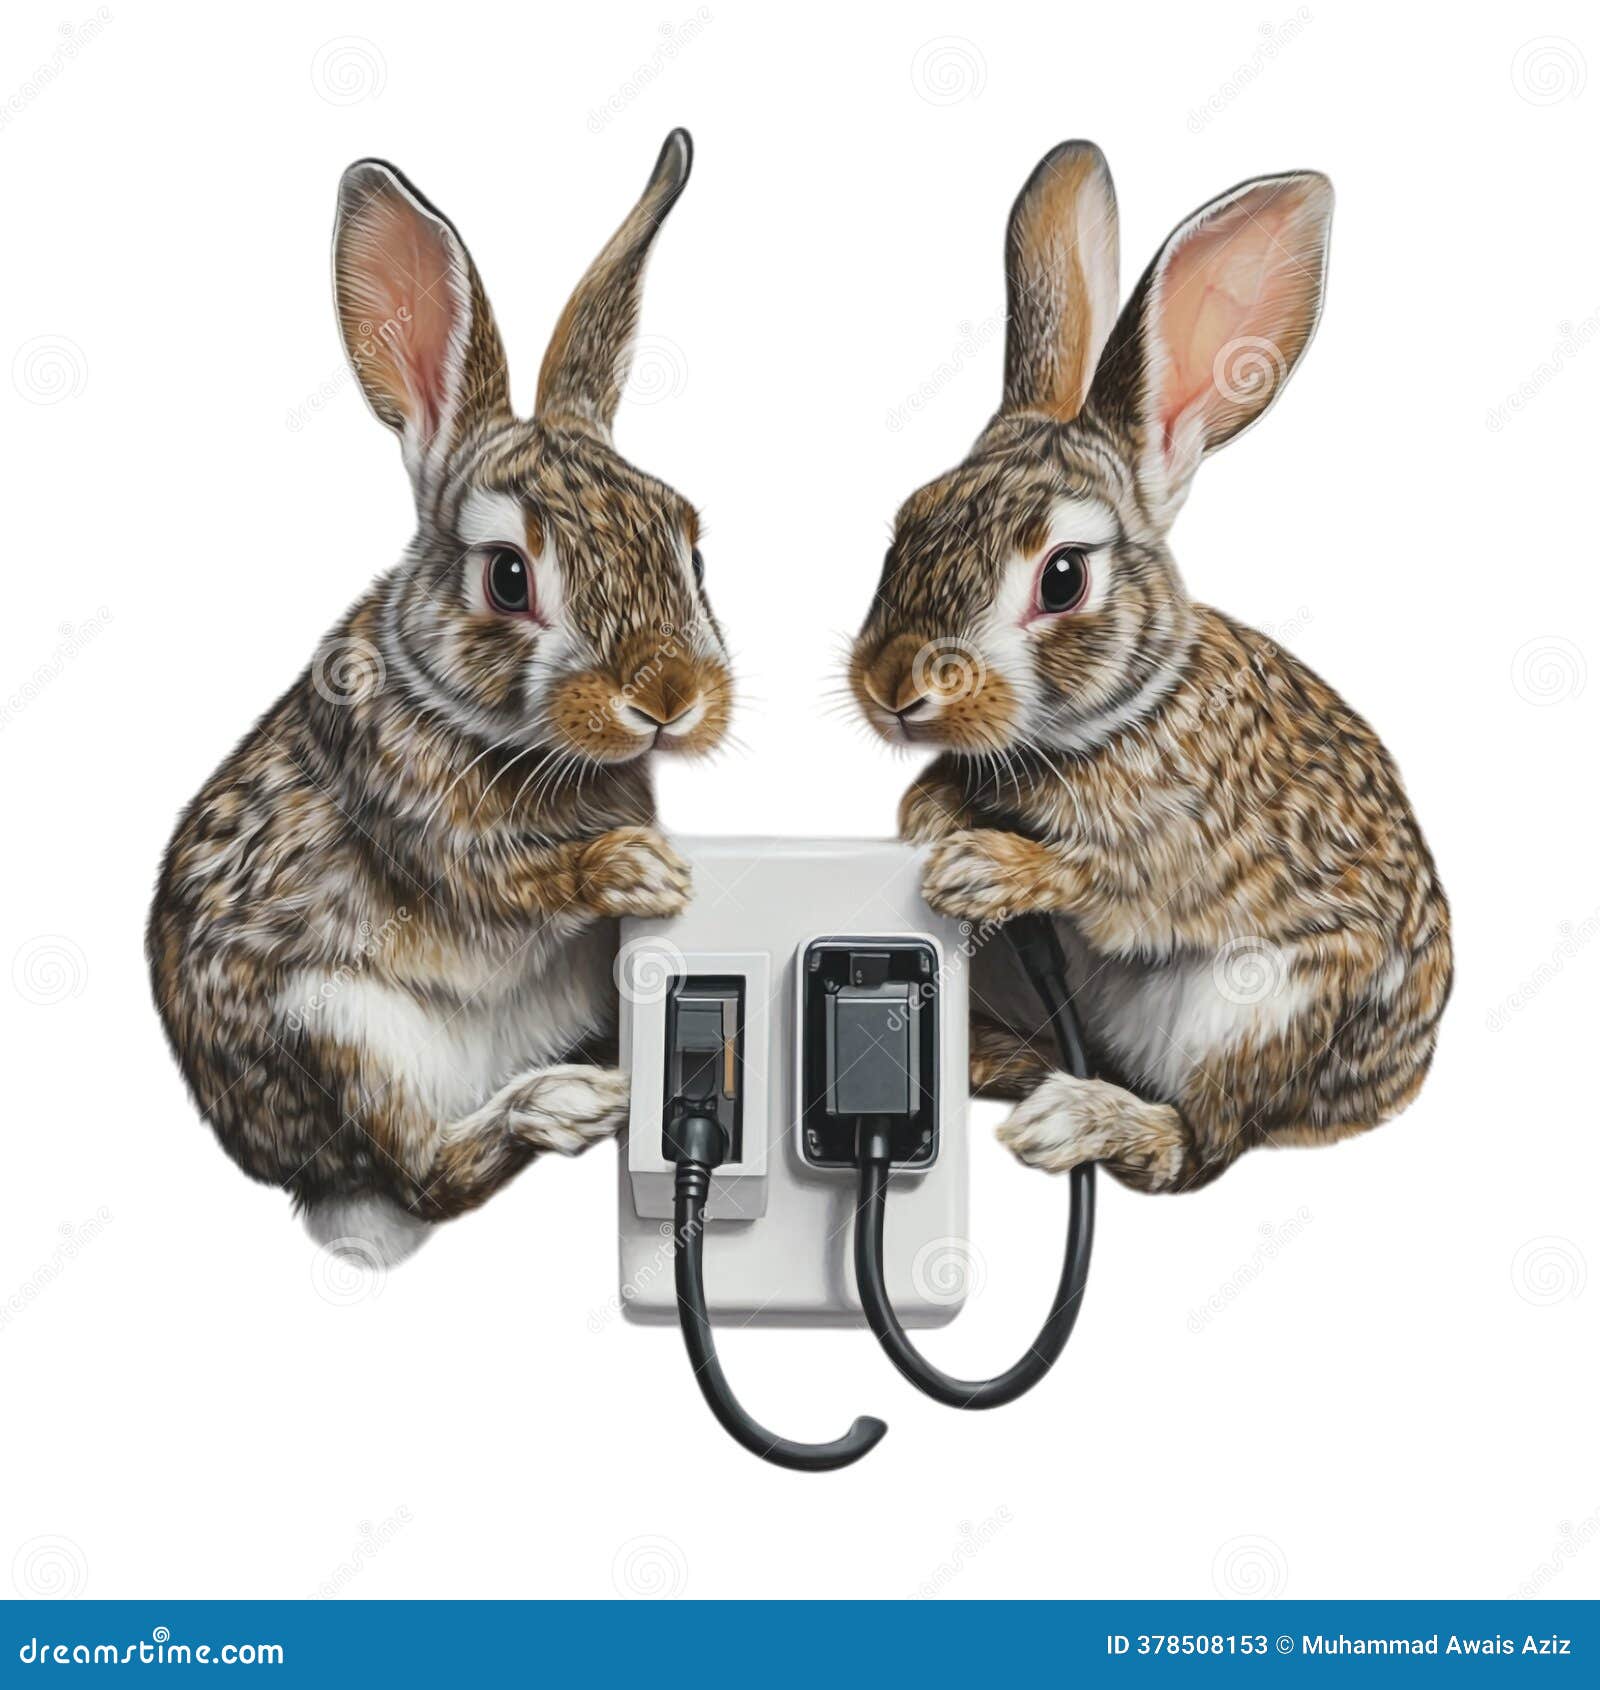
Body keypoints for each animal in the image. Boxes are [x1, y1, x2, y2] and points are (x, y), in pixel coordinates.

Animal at [148, 131, 732, 1263]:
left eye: (689, 547)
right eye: (508, 578)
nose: (668, 696)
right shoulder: (419, 824)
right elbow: (508, 880)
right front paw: (636, 867)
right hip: (341, 1026)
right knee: (428, 1174)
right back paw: (564, 1104)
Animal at [850, 141, 1451, 1194]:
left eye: (1062, 578)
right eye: (908, 524)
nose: (896, 690)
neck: (1124, 713)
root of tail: (1389, 1089)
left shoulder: (1171, 854)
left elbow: (1098, 879)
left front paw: (983, 867)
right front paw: (930, 817)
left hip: (1257, 1010)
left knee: (1198, 1147)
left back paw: (1078, 1121)